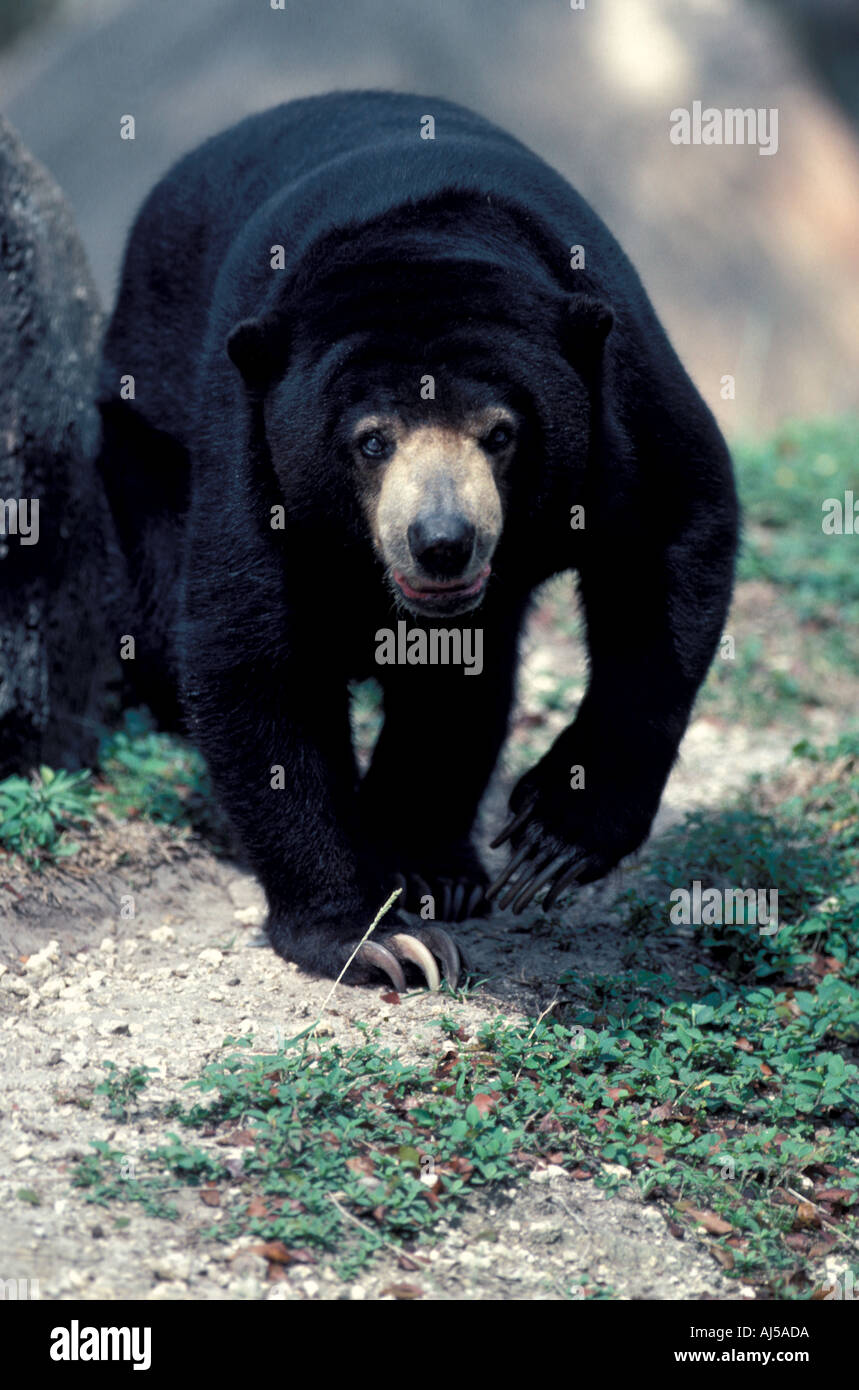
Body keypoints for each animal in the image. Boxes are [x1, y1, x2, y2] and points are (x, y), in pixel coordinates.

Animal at [96, 91, 739, 990]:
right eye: (371, 441)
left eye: (500, 433)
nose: (441, 543)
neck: (416, 234)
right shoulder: (250, 446)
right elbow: (252, 654)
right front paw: (377, 941)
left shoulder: (621, 407)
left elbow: (673, 540)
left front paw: (550, 842)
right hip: (145, 432)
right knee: (160, 638)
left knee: (464, 683)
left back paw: (430, 864)